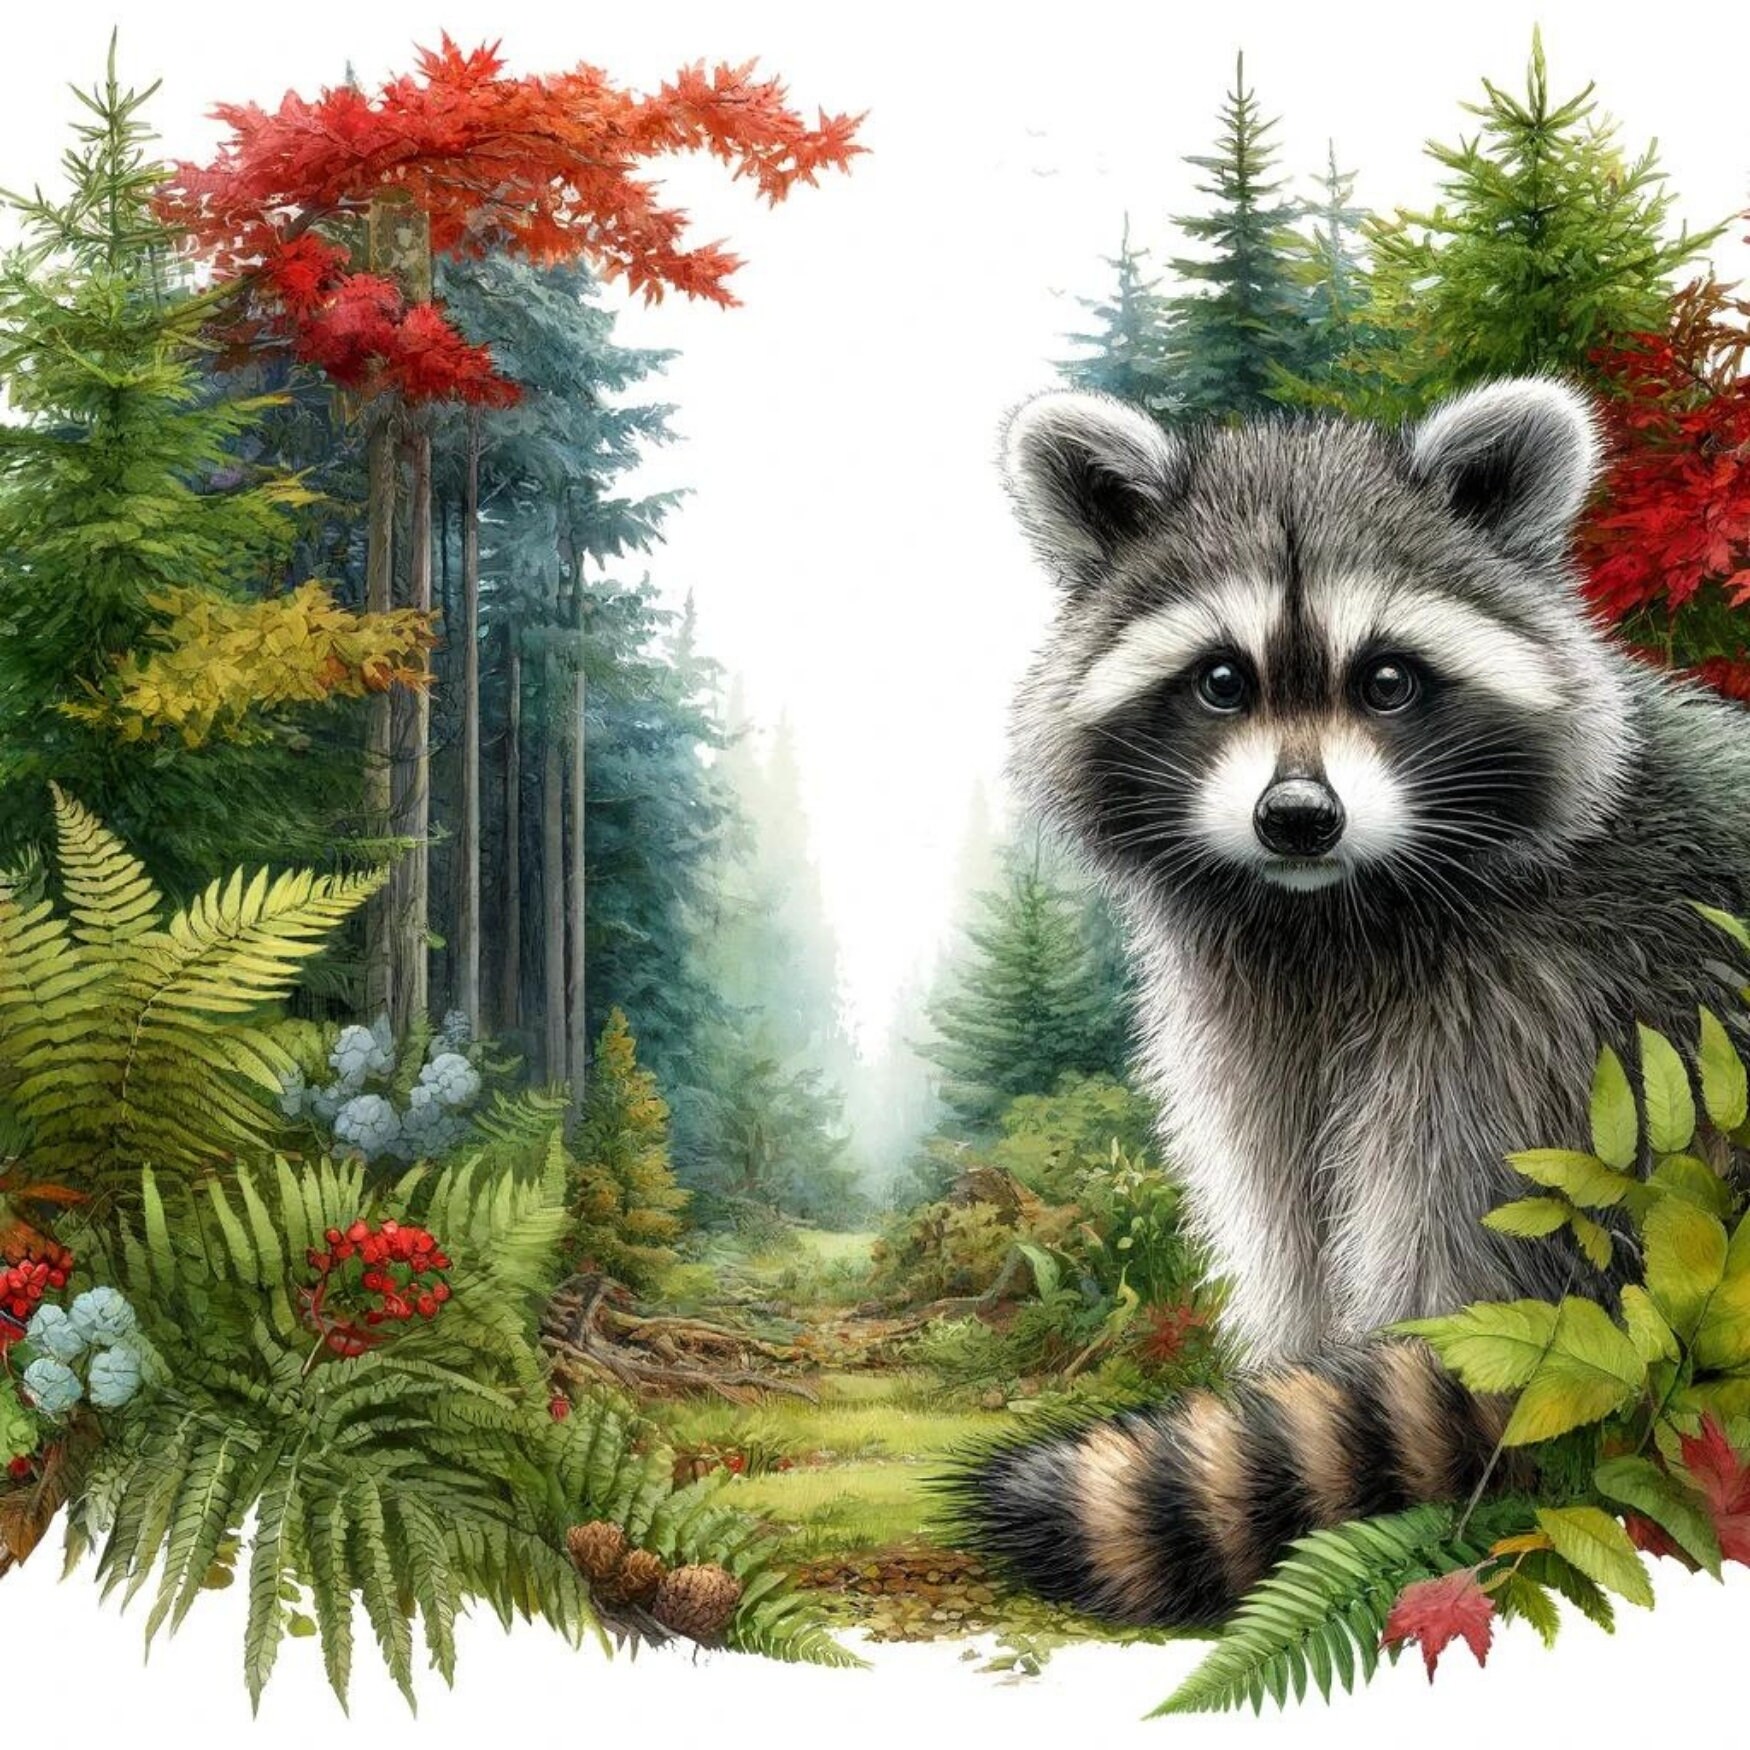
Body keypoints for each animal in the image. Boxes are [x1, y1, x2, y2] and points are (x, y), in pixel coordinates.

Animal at [945, 376, 1750, 1628]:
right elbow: (1276, 1188)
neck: (1326, 912)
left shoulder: (1554, 999)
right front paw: (1292, 1359)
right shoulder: (1250, 1006)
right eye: (1221, 680)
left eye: (1386, 680)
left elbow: (1463, 1220)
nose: (1296, 816)